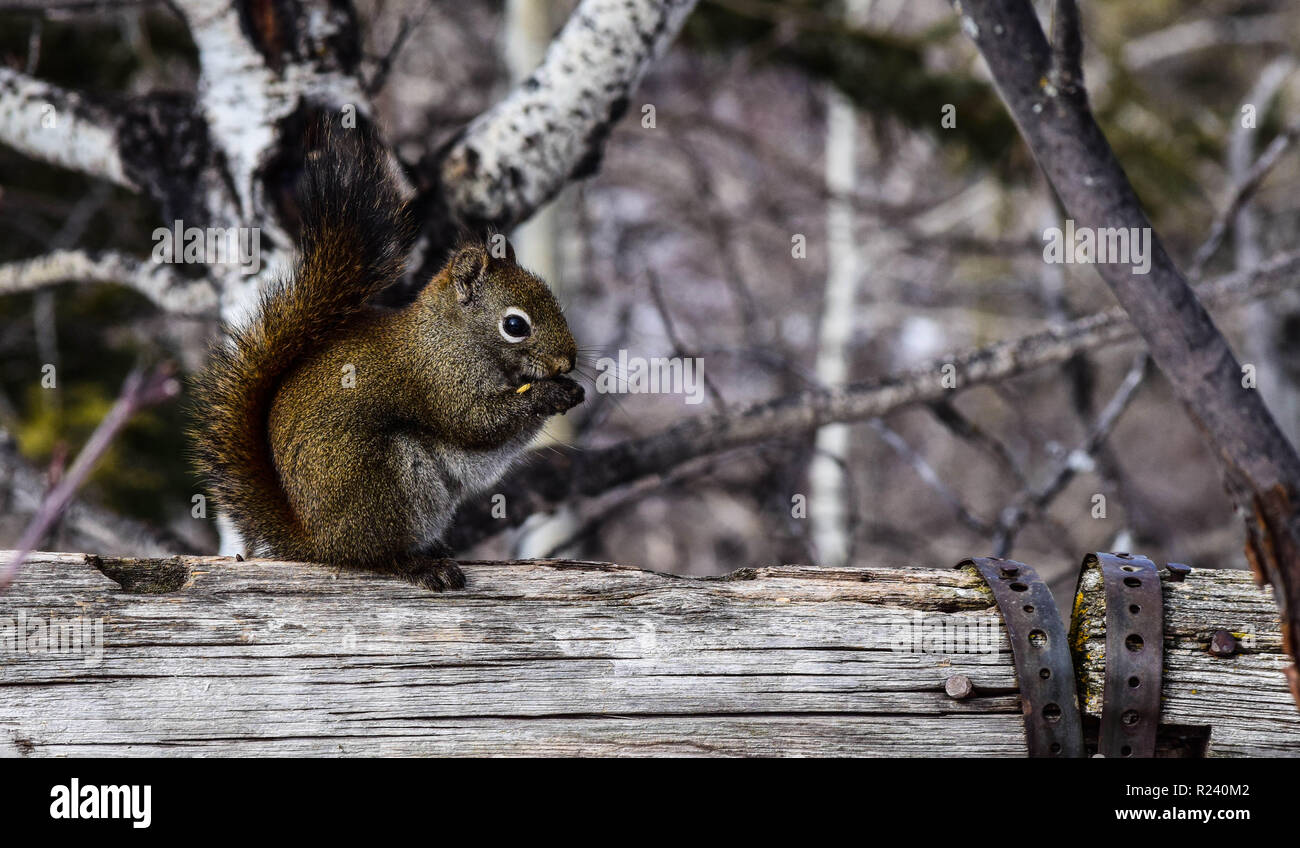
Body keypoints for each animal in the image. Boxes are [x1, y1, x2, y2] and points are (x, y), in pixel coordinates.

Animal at [190, 120, 584, 591]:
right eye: (515, 325)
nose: (567, 362)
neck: (451, 336)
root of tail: (316, 541)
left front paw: (570, 390)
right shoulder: (441, 379)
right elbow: (476, 423)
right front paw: (548, 393)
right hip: (386, 481)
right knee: (373, 557)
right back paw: (418, 565)